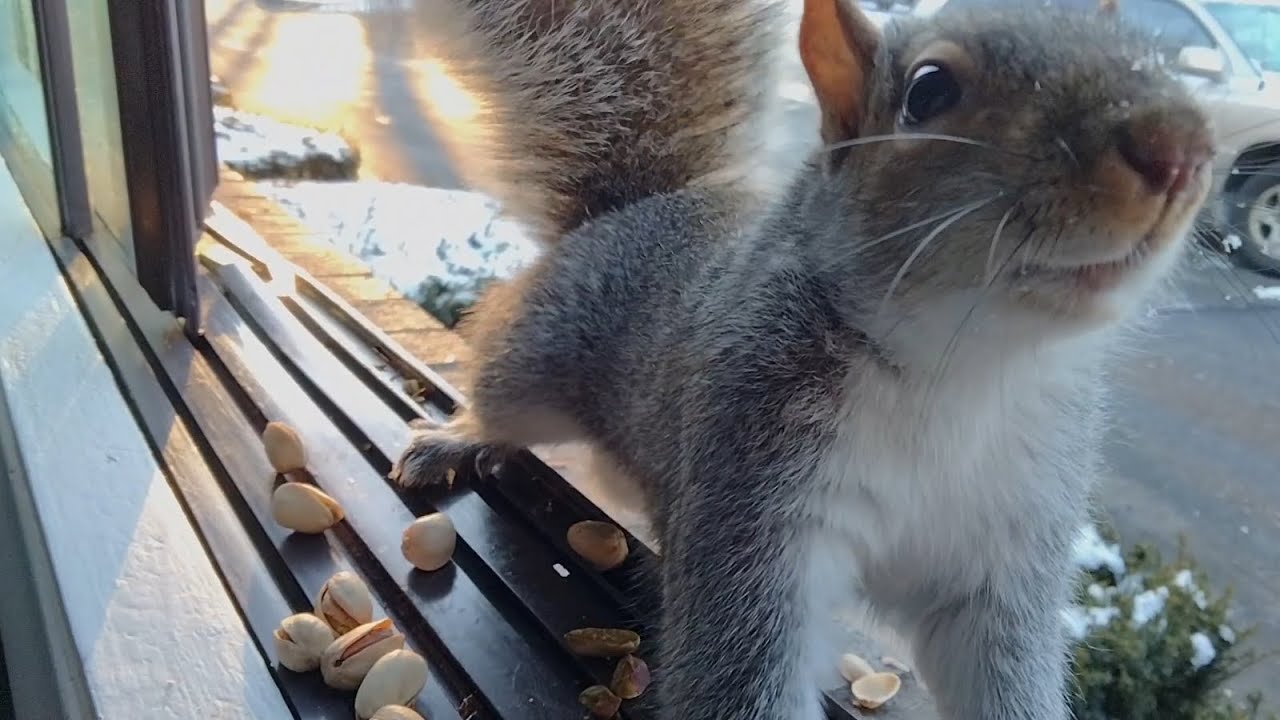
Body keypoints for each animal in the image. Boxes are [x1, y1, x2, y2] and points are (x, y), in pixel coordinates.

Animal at [390, 0, 1215, 717]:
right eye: (929, 90)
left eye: (1152, 56)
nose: (1179, 149)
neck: (959, 370)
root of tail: (638, 210)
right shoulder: (752, 501)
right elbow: (742, 672)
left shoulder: (1008, 551)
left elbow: (1003, 679)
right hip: (535, 358)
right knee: (499, 391)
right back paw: (456, 438)